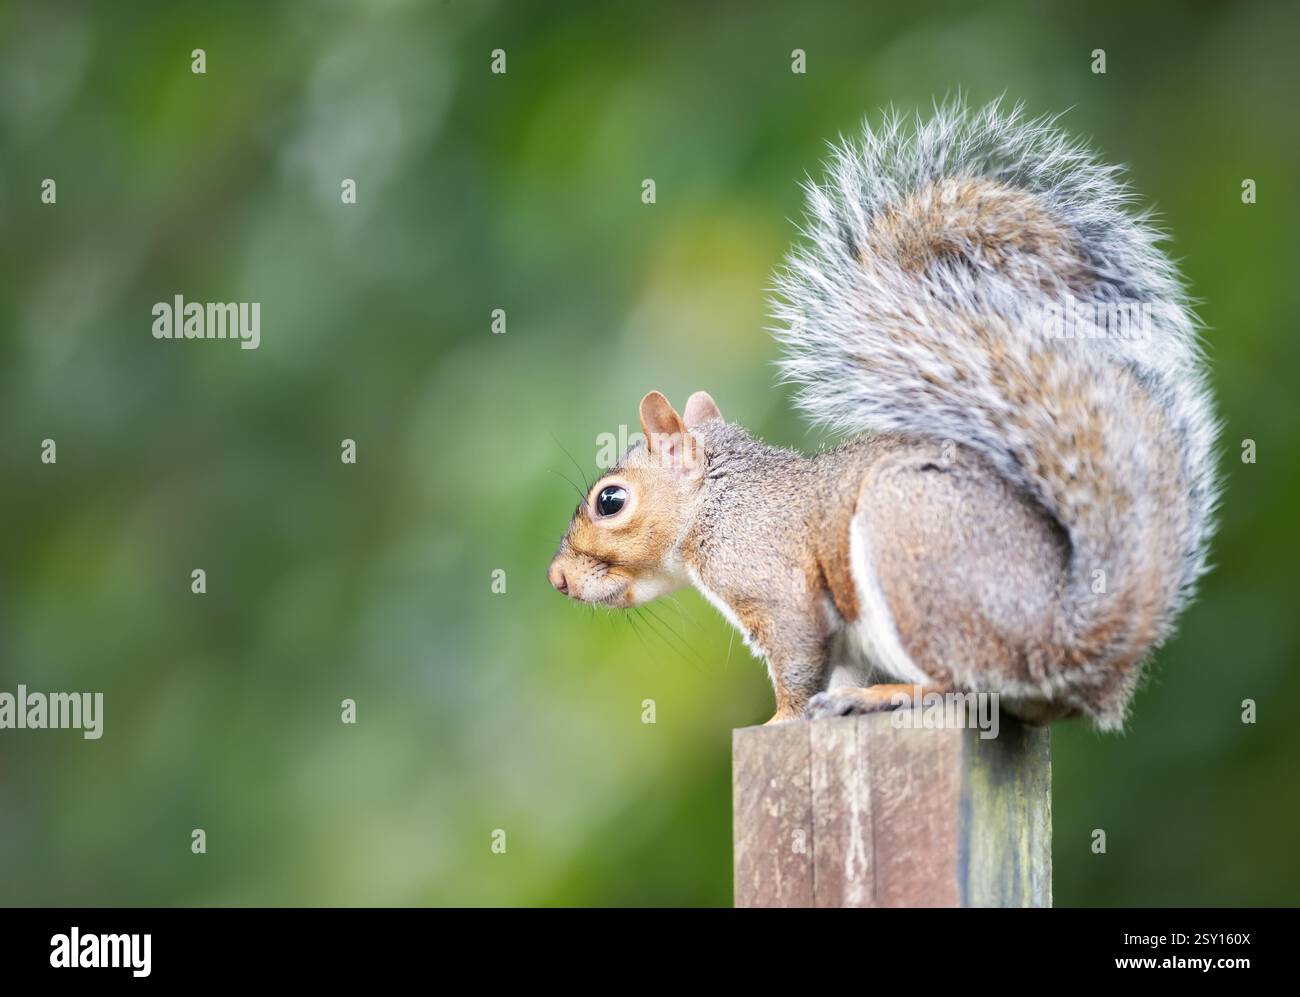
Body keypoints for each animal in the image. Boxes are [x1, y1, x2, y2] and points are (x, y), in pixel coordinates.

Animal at [547, 100, 1220, 730]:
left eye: (611, 500)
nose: (557, 579)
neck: (719, 501)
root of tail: (1067, 644)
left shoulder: (775, 585)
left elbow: (797, 664)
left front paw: (780, 721)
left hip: (911, 549)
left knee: (963, 686)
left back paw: (889, 695)